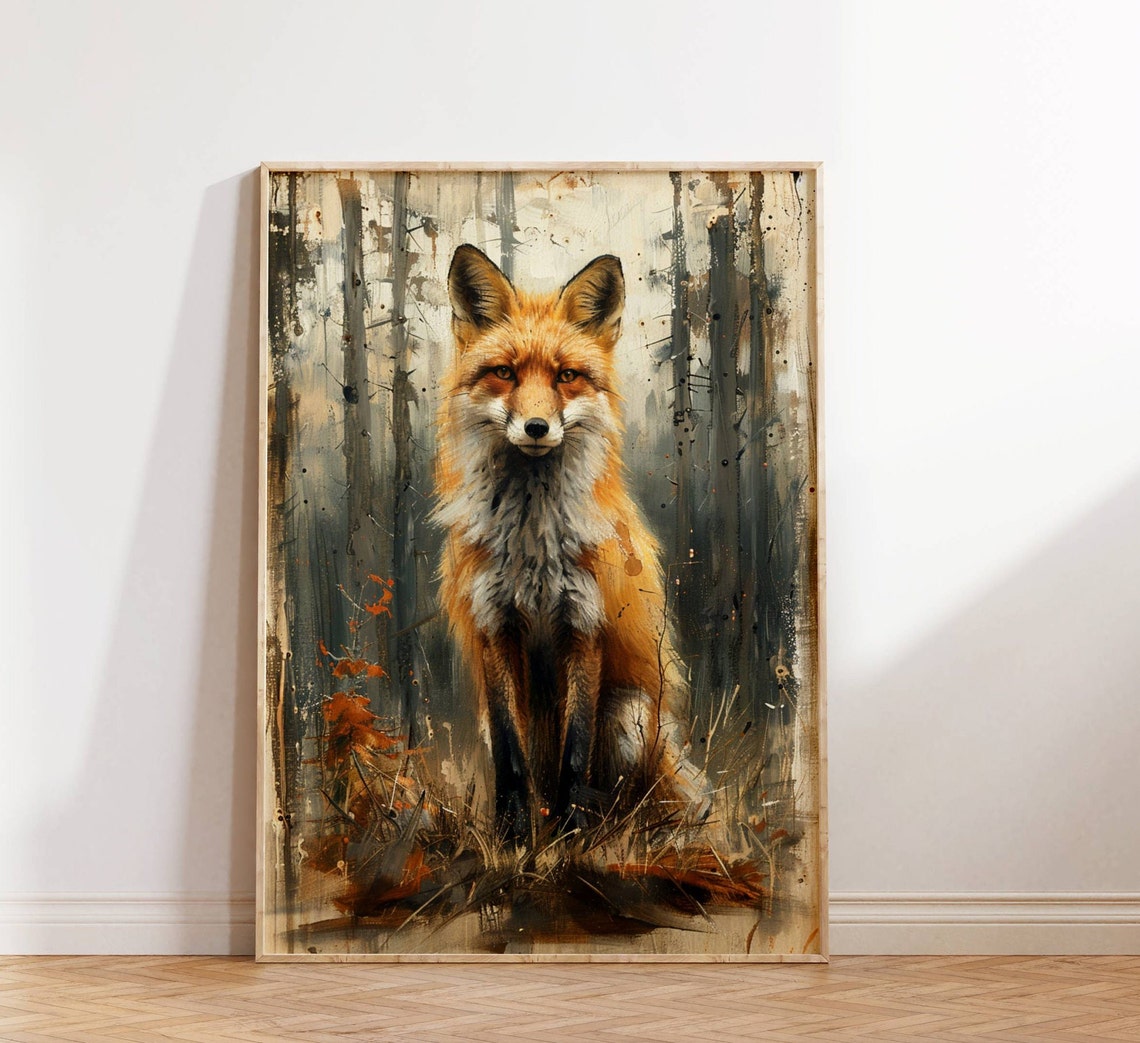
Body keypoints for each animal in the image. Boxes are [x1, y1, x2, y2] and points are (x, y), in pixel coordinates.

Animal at [434, 244, 711, 842]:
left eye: (566, 376)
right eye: (505, 373)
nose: (537, 427)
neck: (533, 540)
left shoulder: (585, 625)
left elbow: (575, 751)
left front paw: (571, 835)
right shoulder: (495, 626)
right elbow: (512, 758)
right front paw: (515, 837)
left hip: (631, 716)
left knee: (639, 798)